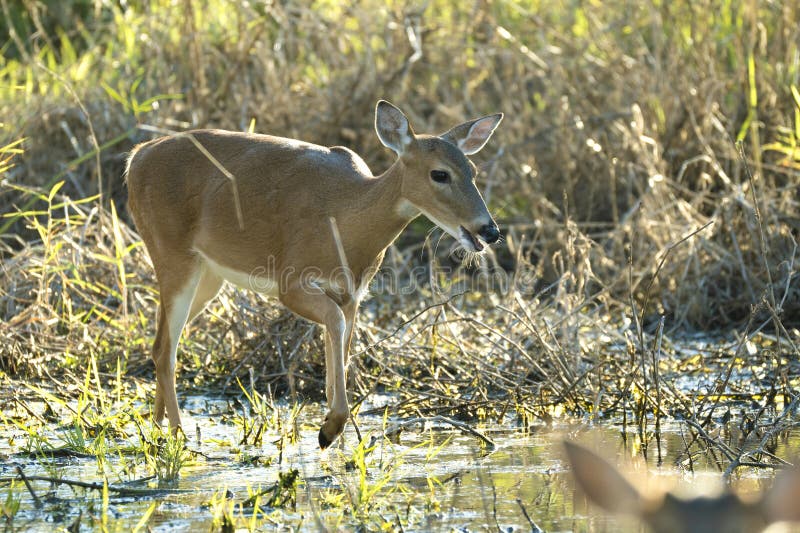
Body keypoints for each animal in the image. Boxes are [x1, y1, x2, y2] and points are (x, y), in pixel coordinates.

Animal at [126, 100, 503, 449]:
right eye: (440, 173)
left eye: (472, 169)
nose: (489, 230)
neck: (346, 218)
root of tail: (136, 158)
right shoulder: (291, 280)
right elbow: (334, 326)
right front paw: (330, 428)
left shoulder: (353, 293)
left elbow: (341, 349)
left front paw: (333, 432)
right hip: (172, 252)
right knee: (166, 349)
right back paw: (179, 435)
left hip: (208, 275)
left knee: (159, 341)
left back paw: (157, 426)